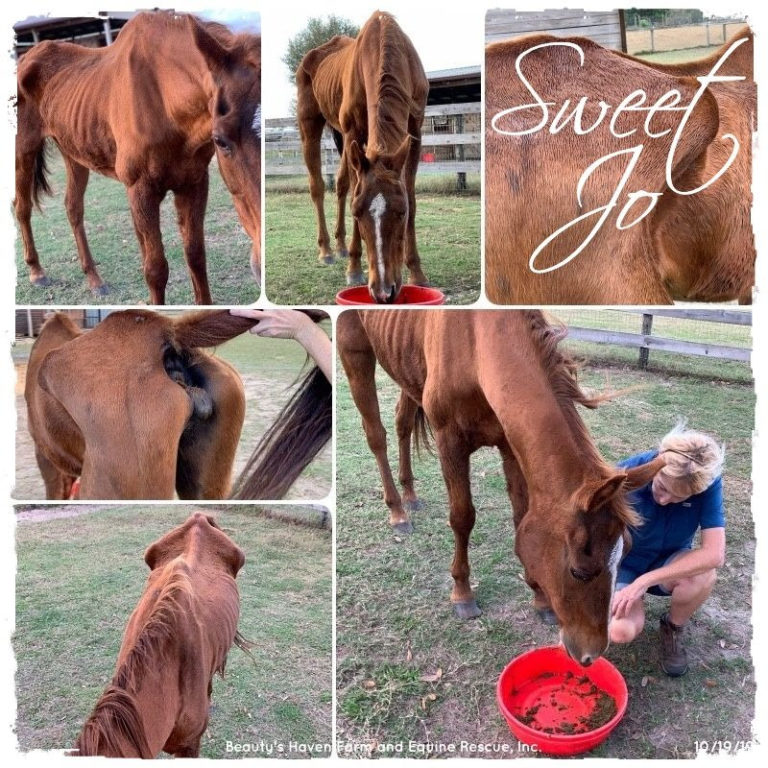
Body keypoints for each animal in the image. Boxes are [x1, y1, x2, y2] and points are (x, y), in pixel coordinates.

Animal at [15, 11, 261, 303]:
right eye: (220, 141)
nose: (260, 266)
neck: (162, 98)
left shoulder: (193, 184)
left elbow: (196, 257)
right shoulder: (140, 189)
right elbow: (156, 270)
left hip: (73, 152)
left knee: (73, 208)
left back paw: (94, 279)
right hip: (24, 148)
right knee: (22, 208)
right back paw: (37, 272)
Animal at [296, 11, 428, 303]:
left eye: (401, 212)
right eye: (357, 214)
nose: (383, 291)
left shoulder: (415, 129)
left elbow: (412, 196)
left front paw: (416, 271)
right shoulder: (352, 131)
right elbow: (354, 188)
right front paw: (354, 268)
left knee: (340, 184)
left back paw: (341, 245)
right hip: (312, 125)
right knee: (319, 186)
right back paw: (327, 250)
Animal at [337, 309, 664, 665]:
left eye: (625, 553)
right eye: (578, 571)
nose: (591, 654)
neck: (478, 343)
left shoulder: (510, 445)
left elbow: (521, 518)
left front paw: (540, 599)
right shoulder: (449, 442)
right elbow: (462, 518)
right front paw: (462, 593)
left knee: (402, 422)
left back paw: (410, 495)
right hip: (355, 354)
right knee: (376, 434)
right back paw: (397, 510)